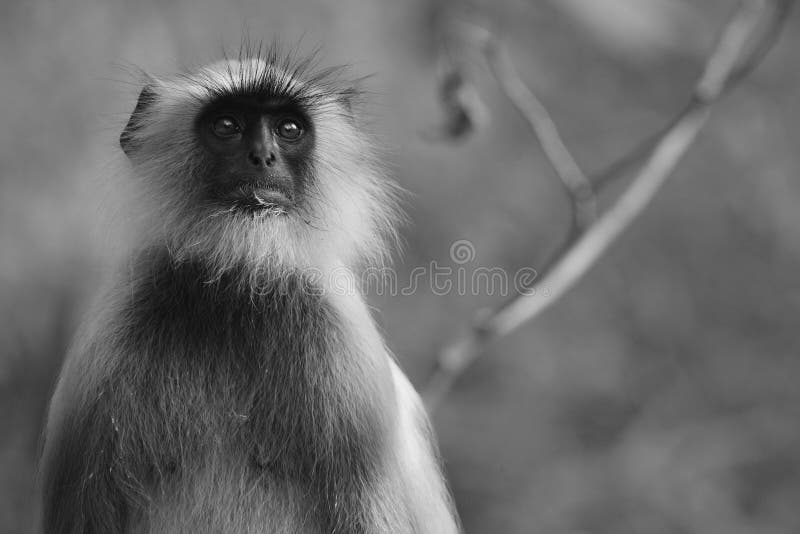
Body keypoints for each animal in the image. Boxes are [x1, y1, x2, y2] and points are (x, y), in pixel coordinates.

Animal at [38, 44, 461, 534]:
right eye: (227, 126)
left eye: (289, 129)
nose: (263, 157)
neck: (236, 292)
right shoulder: (108, 348)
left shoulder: (348, 359)